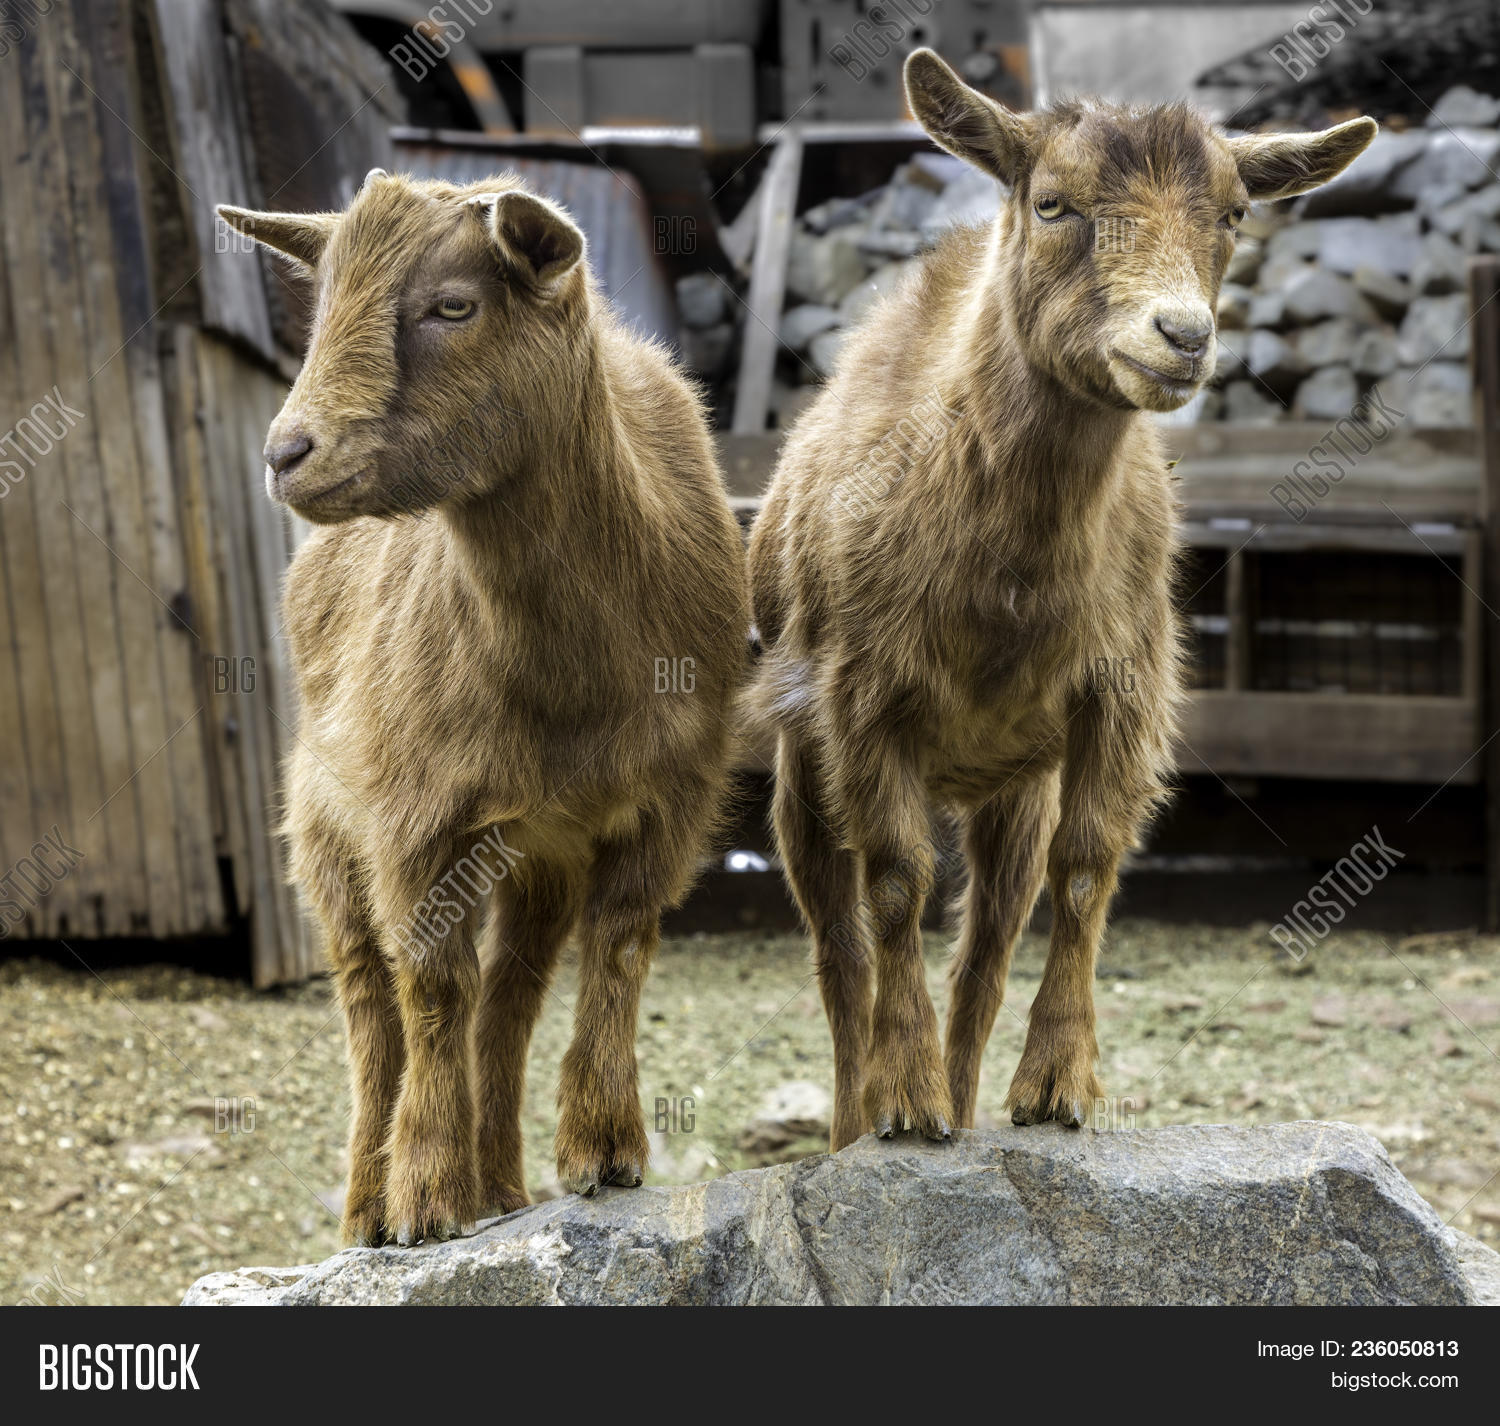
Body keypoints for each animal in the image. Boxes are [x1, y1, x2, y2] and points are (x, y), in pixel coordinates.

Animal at [218, 171, 747, 1245]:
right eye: (321, 306)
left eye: (455, 306)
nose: (287, 453)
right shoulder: (414, 813)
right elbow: (430, 988)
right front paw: (424, 1199)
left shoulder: (669, 799)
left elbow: (618, 944)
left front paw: (603, 1152)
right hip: (326, 822)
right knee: (371, 1003)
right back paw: (372, 1208)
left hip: (536, 850)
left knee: (511, 994)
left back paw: (500, 1186)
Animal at [745, 50, 1375, 1148]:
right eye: (1052, 204)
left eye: (1235, 213)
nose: (1180, 336)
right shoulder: (863, 698)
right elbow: (897, 879)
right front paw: (903, 1100)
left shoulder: (1120, 688)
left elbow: (1083, 870)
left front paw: (1056, 1086)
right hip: (799, 759)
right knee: (837, 948)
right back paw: (860, 1117)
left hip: (1012, 785)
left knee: (987, 949)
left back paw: (964, 1104)